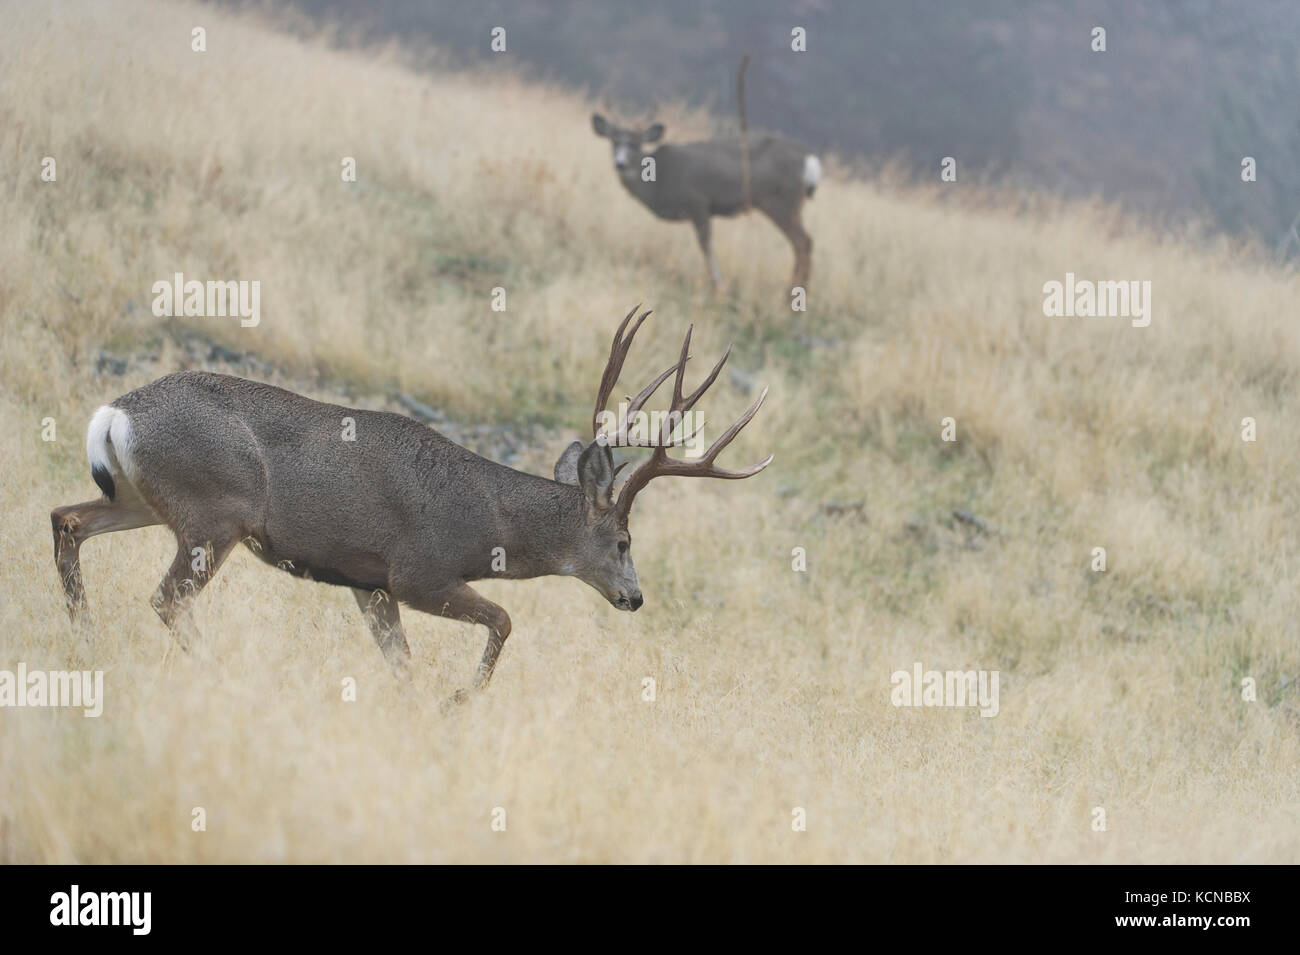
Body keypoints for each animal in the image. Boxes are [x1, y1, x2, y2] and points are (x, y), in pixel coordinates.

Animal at [50, 307, 772, 700]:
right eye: (623, 542)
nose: (636, 597)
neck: (492, 522)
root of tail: (117, 413)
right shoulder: (417, 571)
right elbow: (504, 619)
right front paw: (458, 699)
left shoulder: (367, 581)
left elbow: (400, 662)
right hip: (215, 512)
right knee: (166, 597)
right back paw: (207, 667)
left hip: (144, 499)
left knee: (67, 519)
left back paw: (85, 643)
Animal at [590, 112, 821, 293]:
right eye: (613, 142)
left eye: (636, 144)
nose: (620, 163)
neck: (659, 179)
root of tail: (810, 158)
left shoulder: (698, 202)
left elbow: (706, 245)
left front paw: (719, 285)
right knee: (803, 242)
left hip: (780, 201)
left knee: (803, 241)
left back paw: (791, 294)